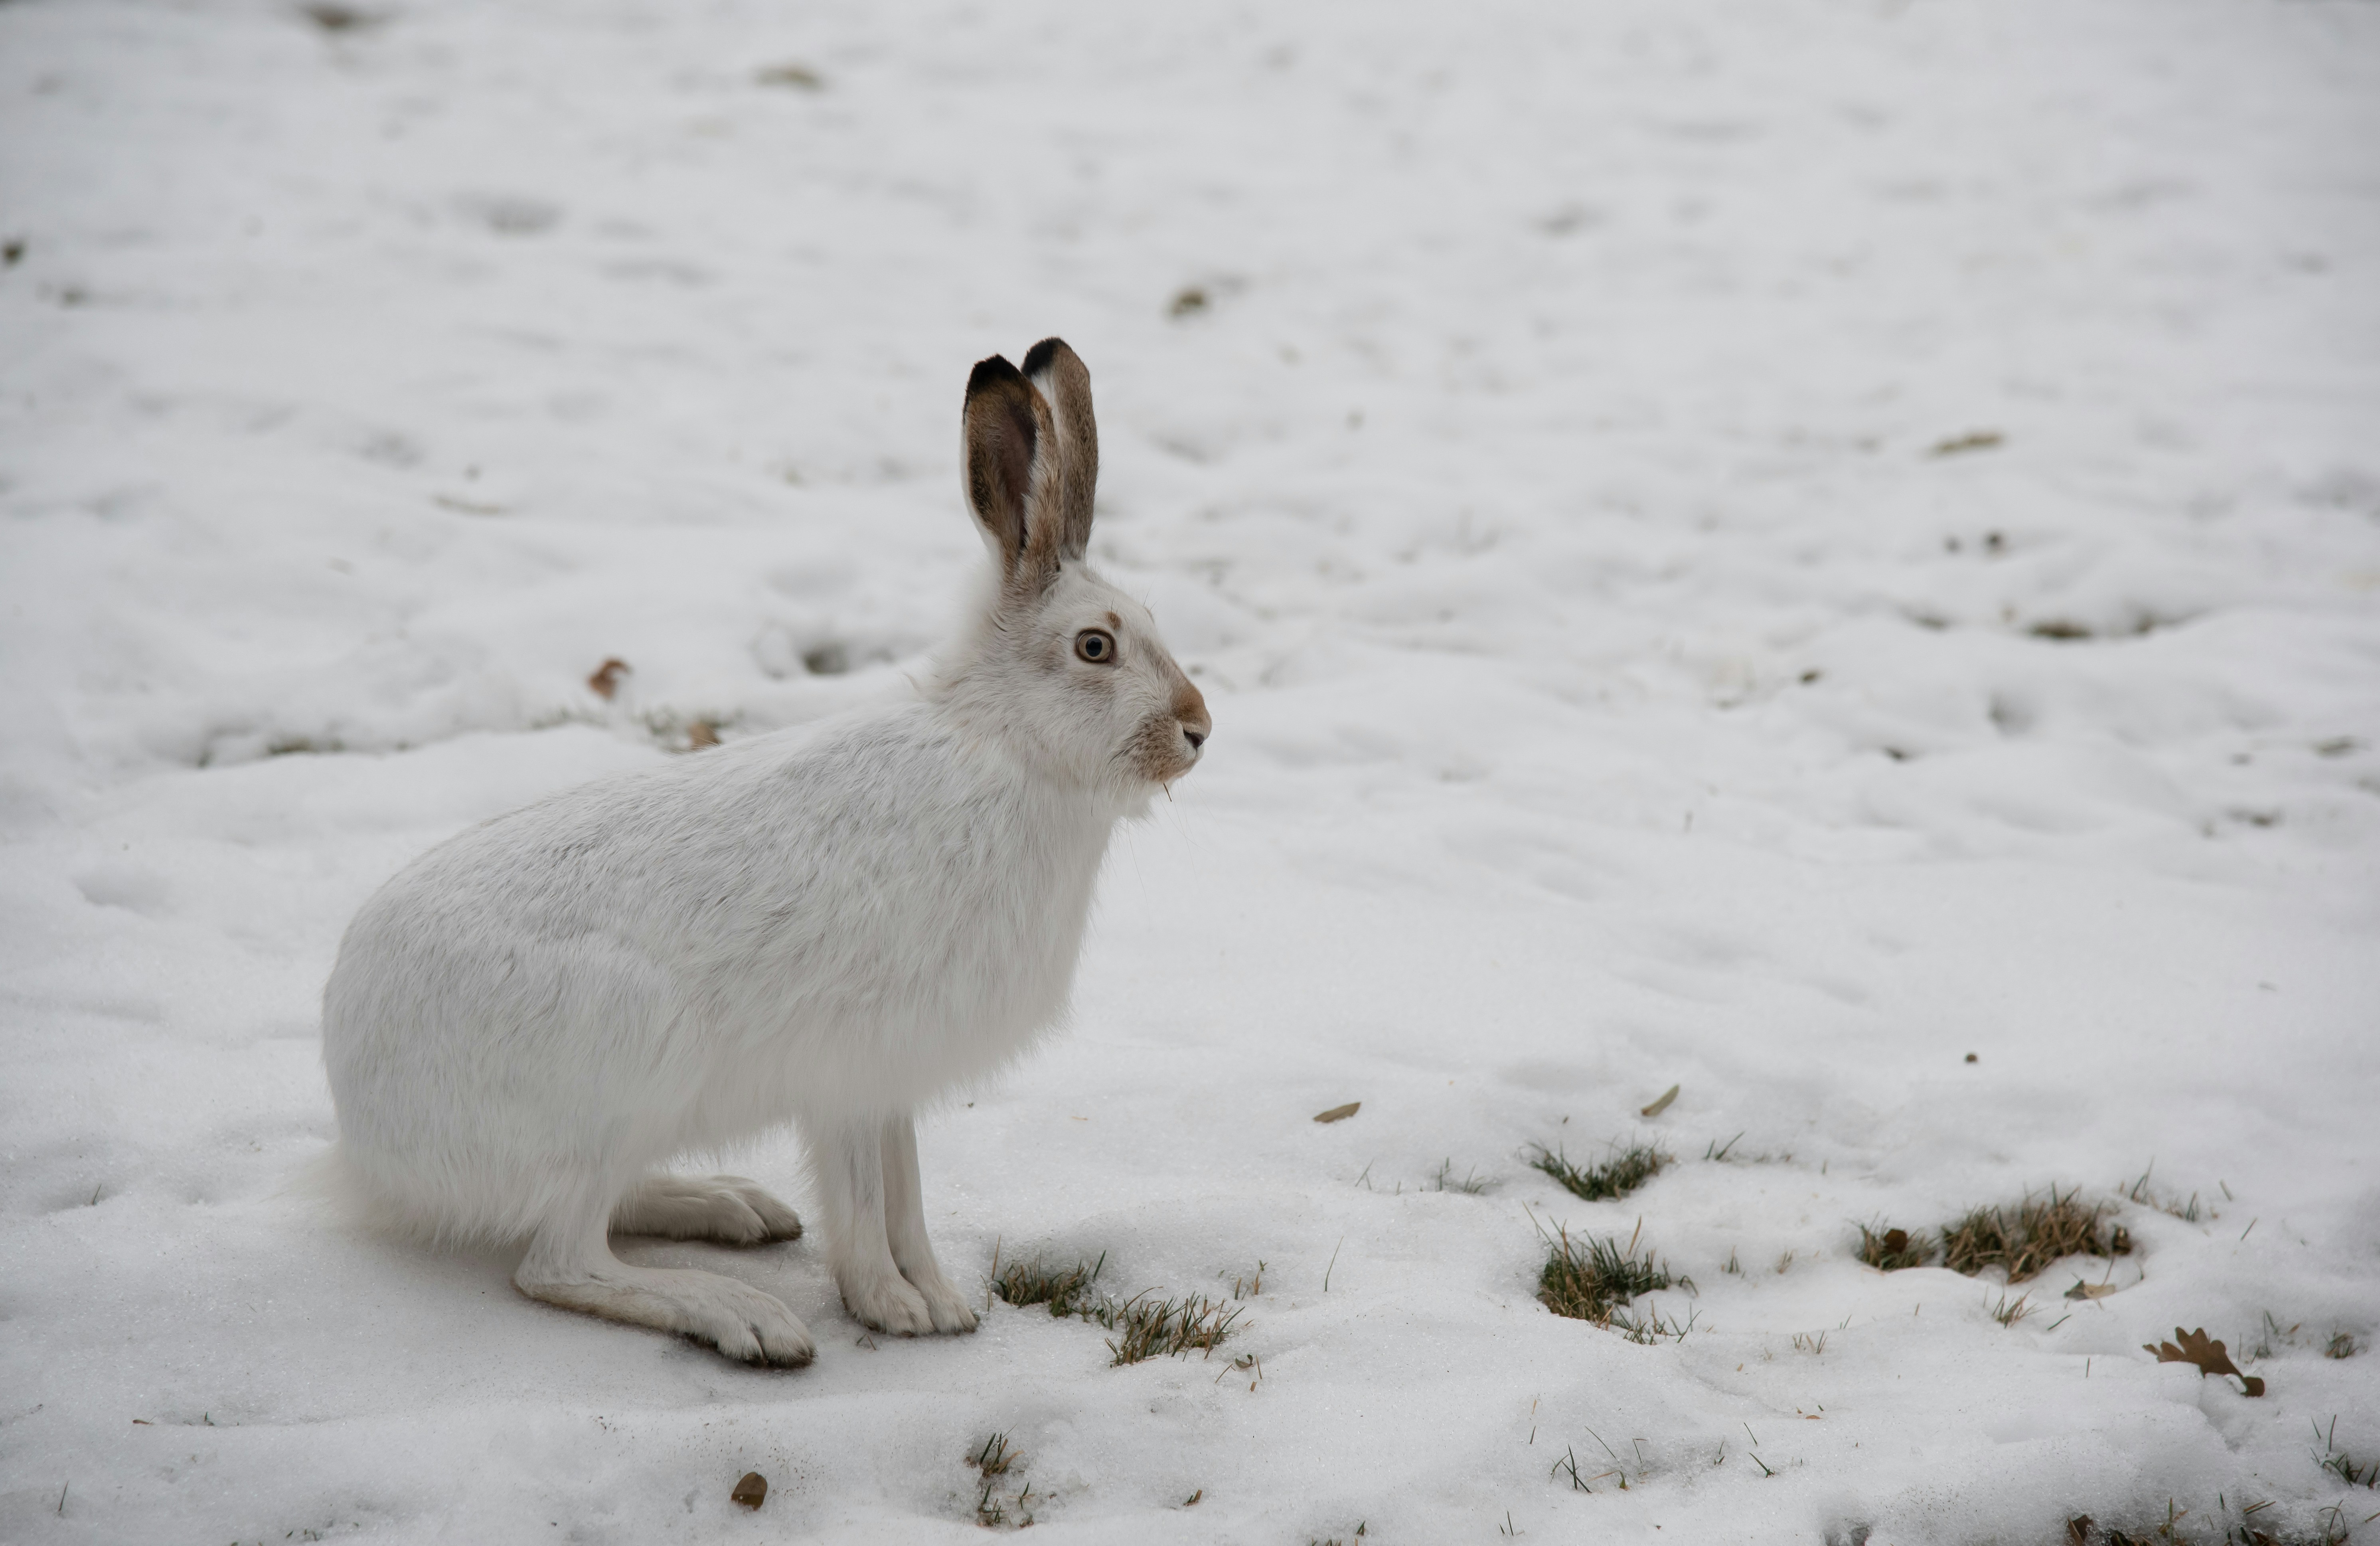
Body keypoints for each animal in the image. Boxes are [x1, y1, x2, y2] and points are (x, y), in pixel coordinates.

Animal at [320, 339, 1209, 1365]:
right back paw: (742, 1314)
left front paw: (940, 1301)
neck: (1006, 745)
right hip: (630, 1059)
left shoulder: (892, 1078)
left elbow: (906, 1189)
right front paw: (895, 1307)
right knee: (558, 1260)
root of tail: (366, 1129)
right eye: (1095, 647)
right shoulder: (849, 1067)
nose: (1199, 728)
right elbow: (865, 1195)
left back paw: (731, 1206)